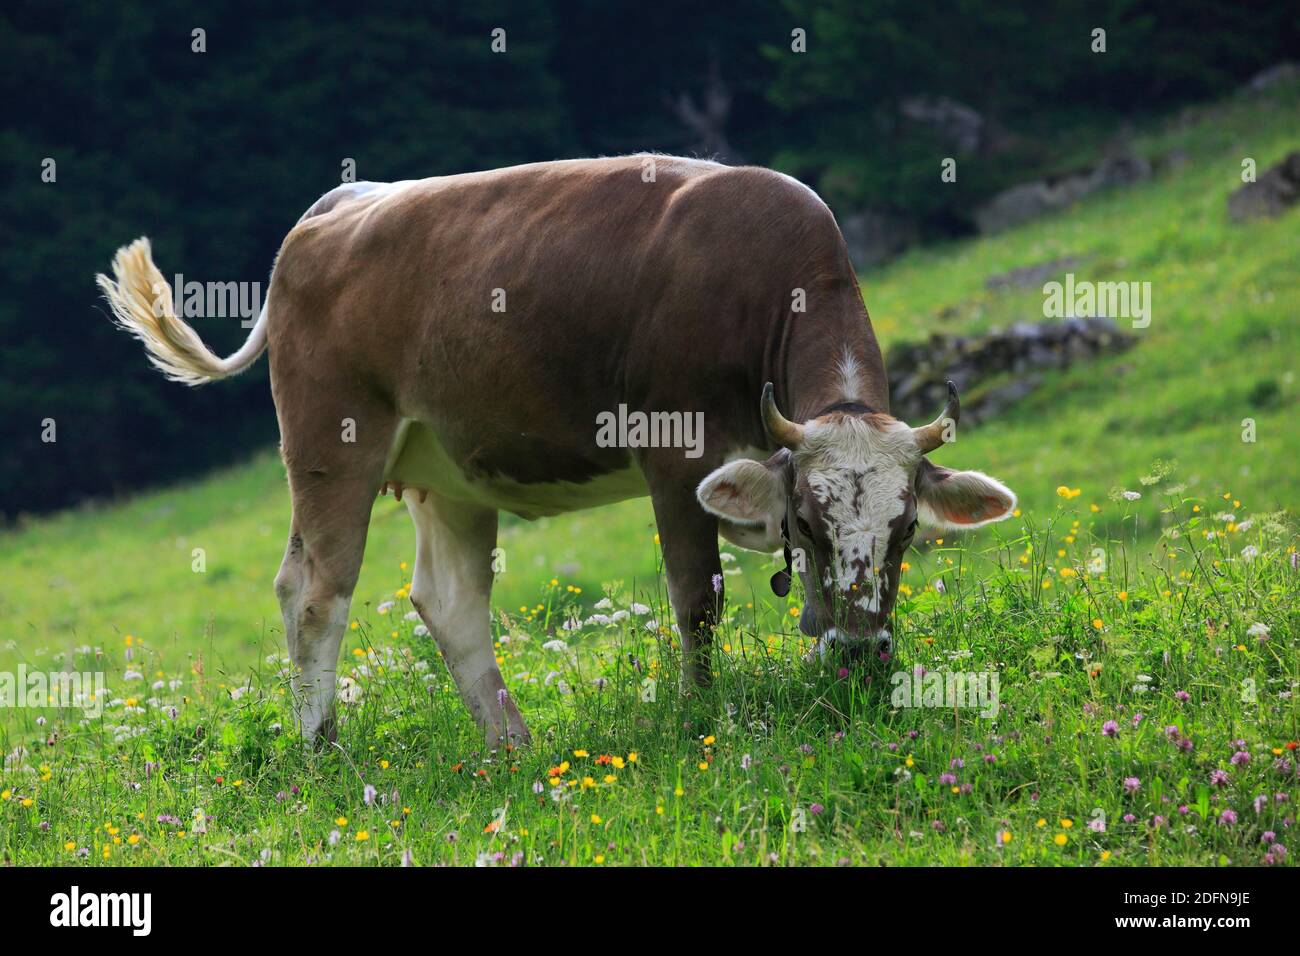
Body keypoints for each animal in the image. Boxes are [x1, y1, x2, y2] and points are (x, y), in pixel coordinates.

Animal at [97, 155, 1016, 747]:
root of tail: (333, 207)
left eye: (905, 529)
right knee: (313, 592)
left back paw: (513, 746)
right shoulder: (676, 454)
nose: (864, 657)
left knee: (449, 601)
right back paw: (326, 751)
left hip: (447, 470)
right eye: (813, 524)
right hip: (332, 442)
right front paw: (701, 714)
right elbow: (698, 599)